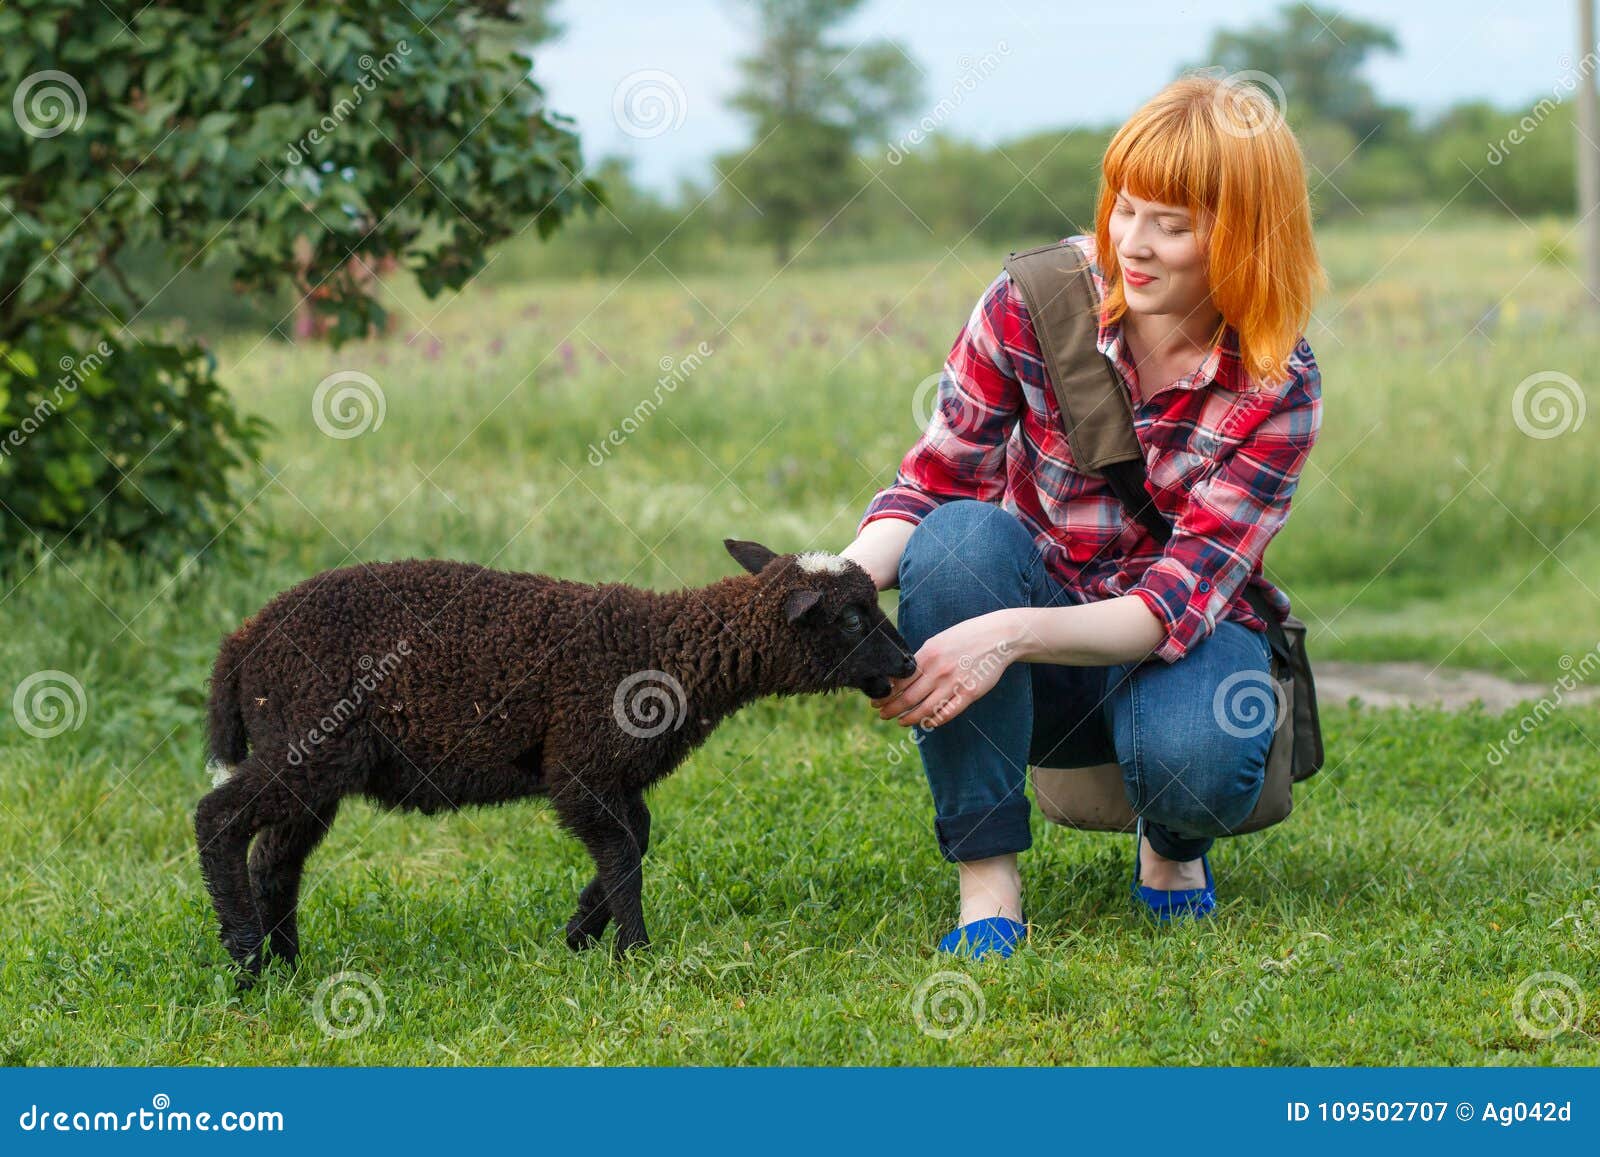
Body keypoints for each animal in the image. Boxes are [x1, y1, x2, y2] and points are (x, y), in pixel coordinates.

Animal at [195, 538, 917, 977]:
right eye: (852, 619)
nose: (909, 663)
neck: (666, 651)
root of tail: (242, 644)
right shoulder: (580, 765)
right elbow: (624, 853)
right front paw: (633, 952)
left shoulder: (612, 776)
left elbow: (635, 840)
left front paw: (580, 932)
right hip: (308, 743)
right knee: (217, 818)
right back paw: (245, 956)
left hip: (315, 763)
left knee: (275, 861)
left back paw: (287, 966)